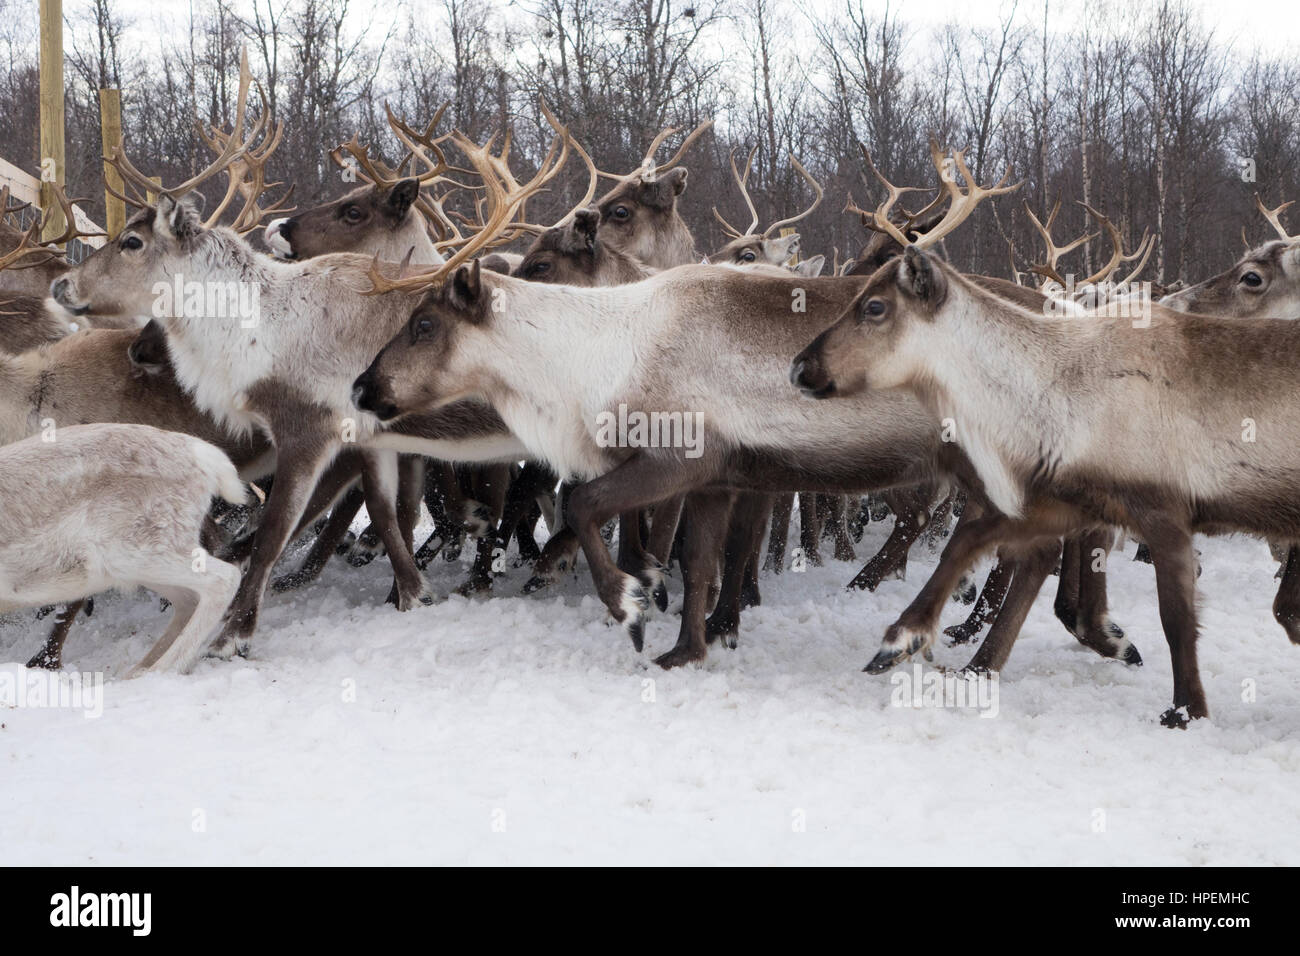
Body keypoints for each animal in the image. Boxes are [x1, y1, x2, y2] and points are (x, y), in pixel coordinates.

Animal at [0, 423, 247, 675]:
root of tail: (205, 457)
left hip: (137, 554)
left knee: (224, 578)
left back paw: (159, 669)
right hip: (142, 567)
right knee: (188, 601)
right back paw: (138, 670)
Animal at [790, 147, 1300, 727]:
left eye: (874, 304)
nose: (800, 366)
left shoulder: (1160, 508)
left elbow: (1176, 619)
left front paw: (1183, 710)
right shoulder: (1067, 495)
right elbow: (978, 542)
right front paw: (907, 638)